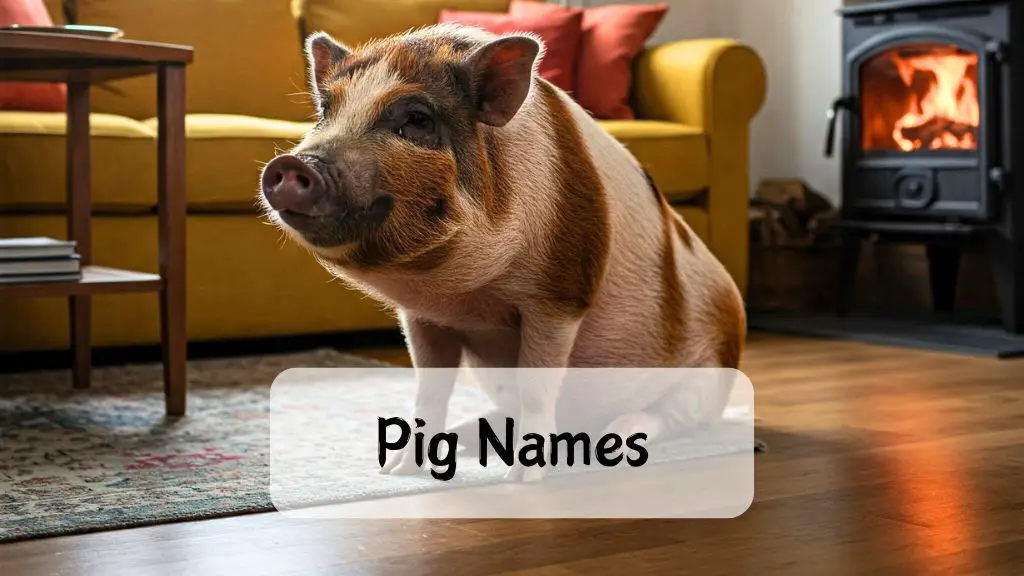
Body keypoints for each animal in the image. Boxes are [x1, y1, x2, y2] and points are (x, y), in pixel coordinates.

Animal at [259, 23, 750, 483]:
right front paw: (395, 472)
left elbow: (535, 384)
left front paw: (523, 478)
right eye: (326, 111)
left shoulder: (561, 294)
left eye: (417, 120)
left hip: (705, 378)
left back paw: (621, 434)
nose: (293, 164)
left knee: (667, 418)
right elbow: (428, 391)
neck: (463, 294)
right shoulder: (422, 317)